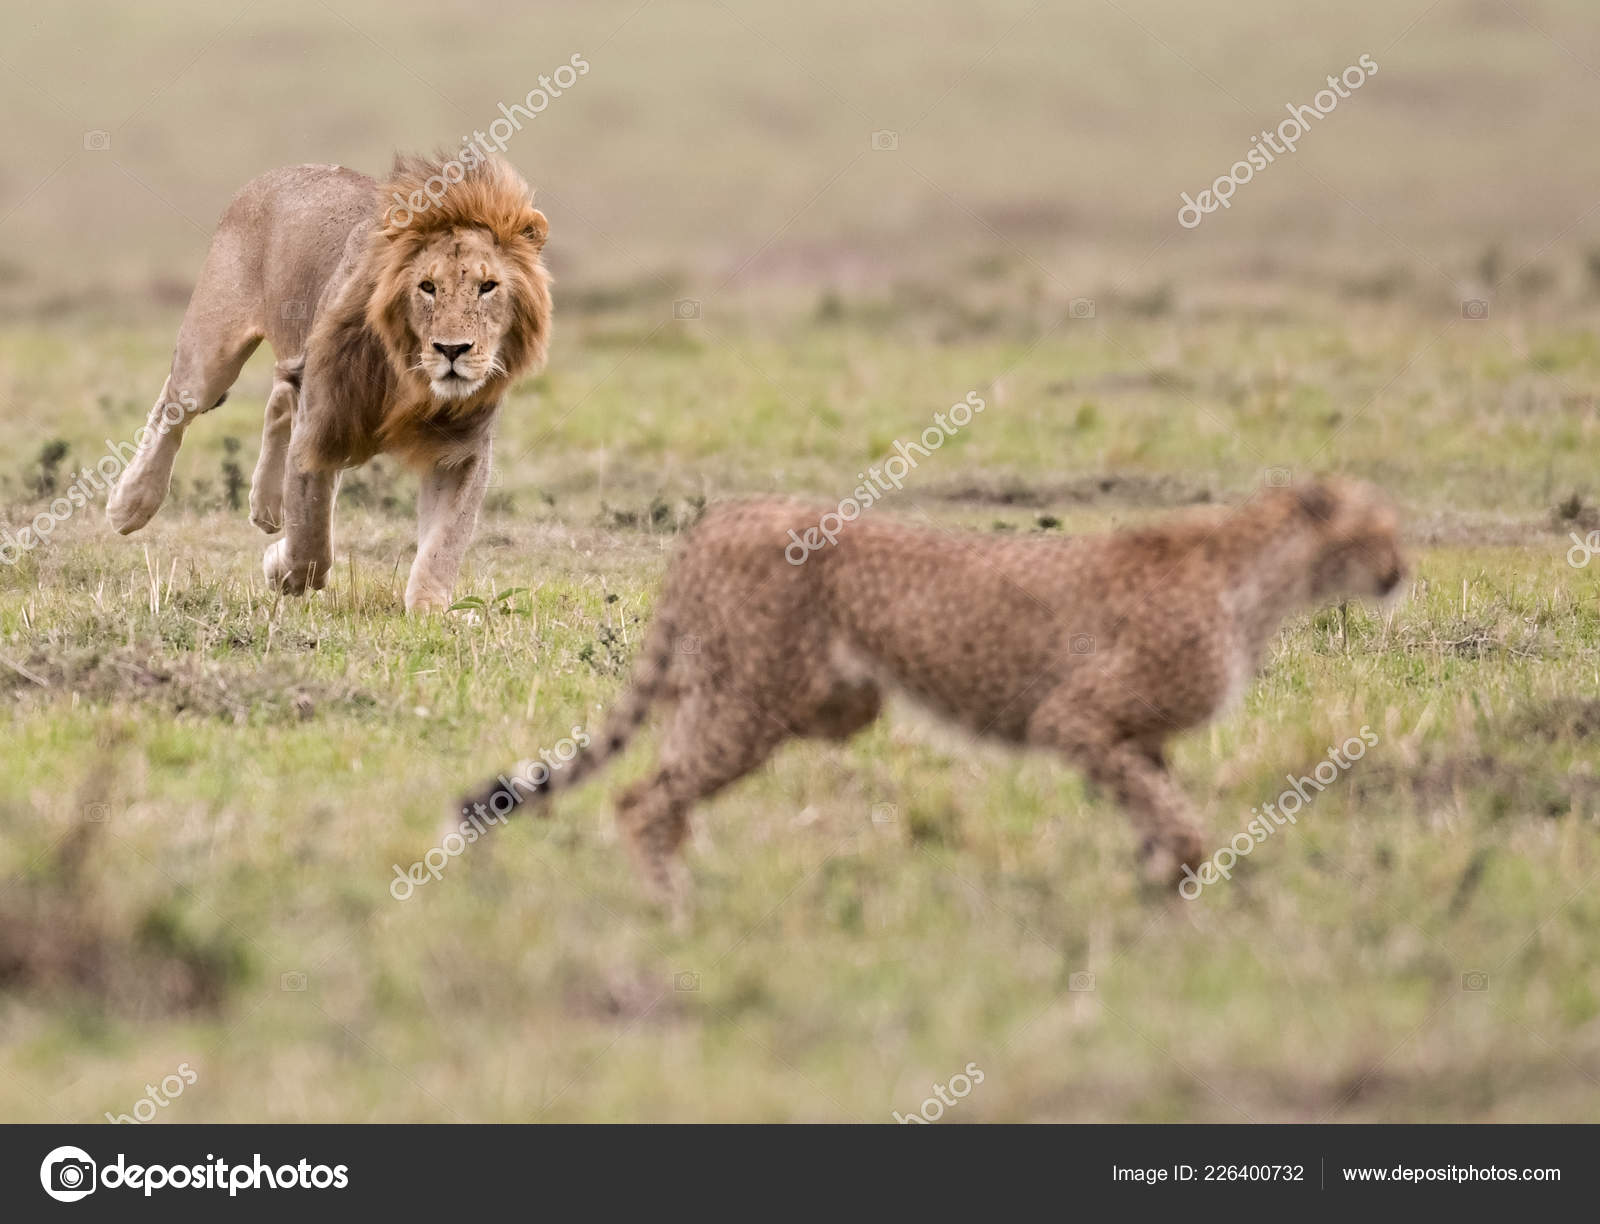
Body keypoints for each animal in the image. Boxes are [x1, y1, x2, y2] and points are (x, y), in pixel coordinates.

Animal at [104, 153, 553, 612]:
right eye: (427, 287)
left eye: (487, 287)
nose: (452, 349)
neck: (411, 378)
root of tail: (281, 171)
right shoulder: (321, 425)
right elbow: (312, 538)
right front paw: (280, 570)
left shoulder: (461, 452)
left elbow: (443, 546)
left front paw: (431, 613)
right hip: (211, 352)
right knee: (174, 407)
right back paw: (130, 503)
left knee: (278, 399)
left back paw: (267, 506)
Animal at [453, 478, 1406, 903]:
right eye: (1381, 529)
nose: (1402, 571)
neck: (1267, 572)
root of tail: (727, 510)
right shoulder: (1074, 717)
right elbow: (1176, 816)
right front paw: (1170, 880)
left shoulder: (1131, 736)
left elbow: (1156, 804)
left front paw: (1155, 883)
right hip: (762, 699)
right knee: (643, 796)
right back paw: (675, 909)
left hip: (796, 698)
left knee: (664, 783)